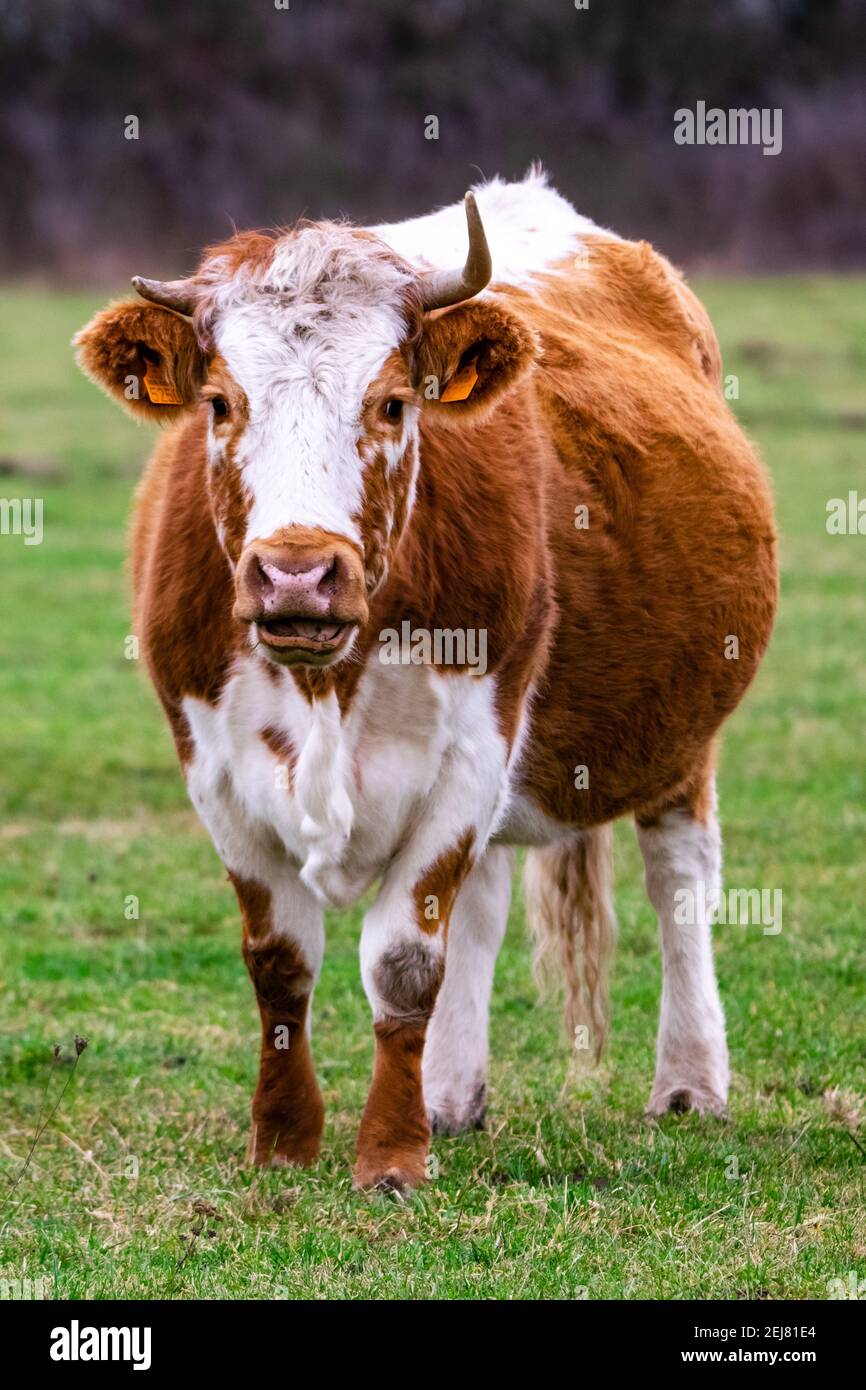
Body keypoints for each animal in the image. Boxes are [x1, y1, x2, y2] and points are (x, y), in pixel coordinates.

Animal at [74, 170, 777, 1192]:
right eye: (218, 402)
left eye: (396, 403)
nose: (297, 573)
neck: (327, 686)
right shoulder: (211, 764)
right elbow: (281, 960)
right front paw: (285, 1143)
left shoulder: (474, 751)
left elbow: (405, 961)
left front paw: (392, 1157)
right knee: (481, 907)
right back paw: (452, 1096)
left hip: (682, 736)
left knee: (678, 879)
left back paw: (689, 1082)